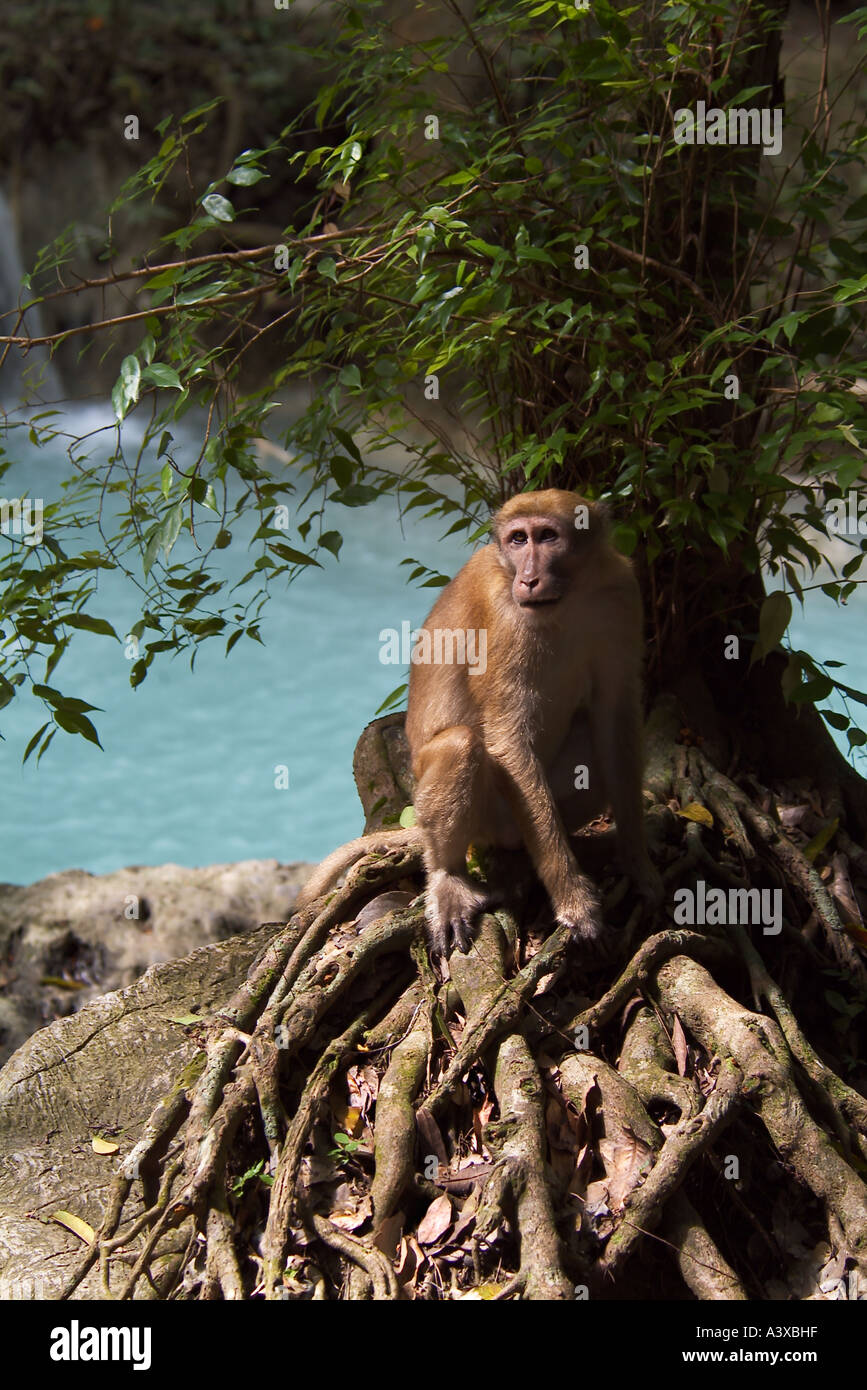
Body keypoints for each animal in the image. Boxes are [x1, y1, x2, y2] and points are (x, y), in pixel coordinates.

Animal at [296, 489, 661, 960]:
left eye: (547, 536)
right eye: (518, 539)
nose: (528, 579)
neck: (572, 594)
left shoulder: (621, 592)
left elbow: (614, 718)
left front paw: (638, 864)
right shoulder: (507, 617)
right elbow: (508, 737)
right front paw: (574, 901)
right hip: (487, 815)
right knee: (460, 746)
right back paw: (450, 879)